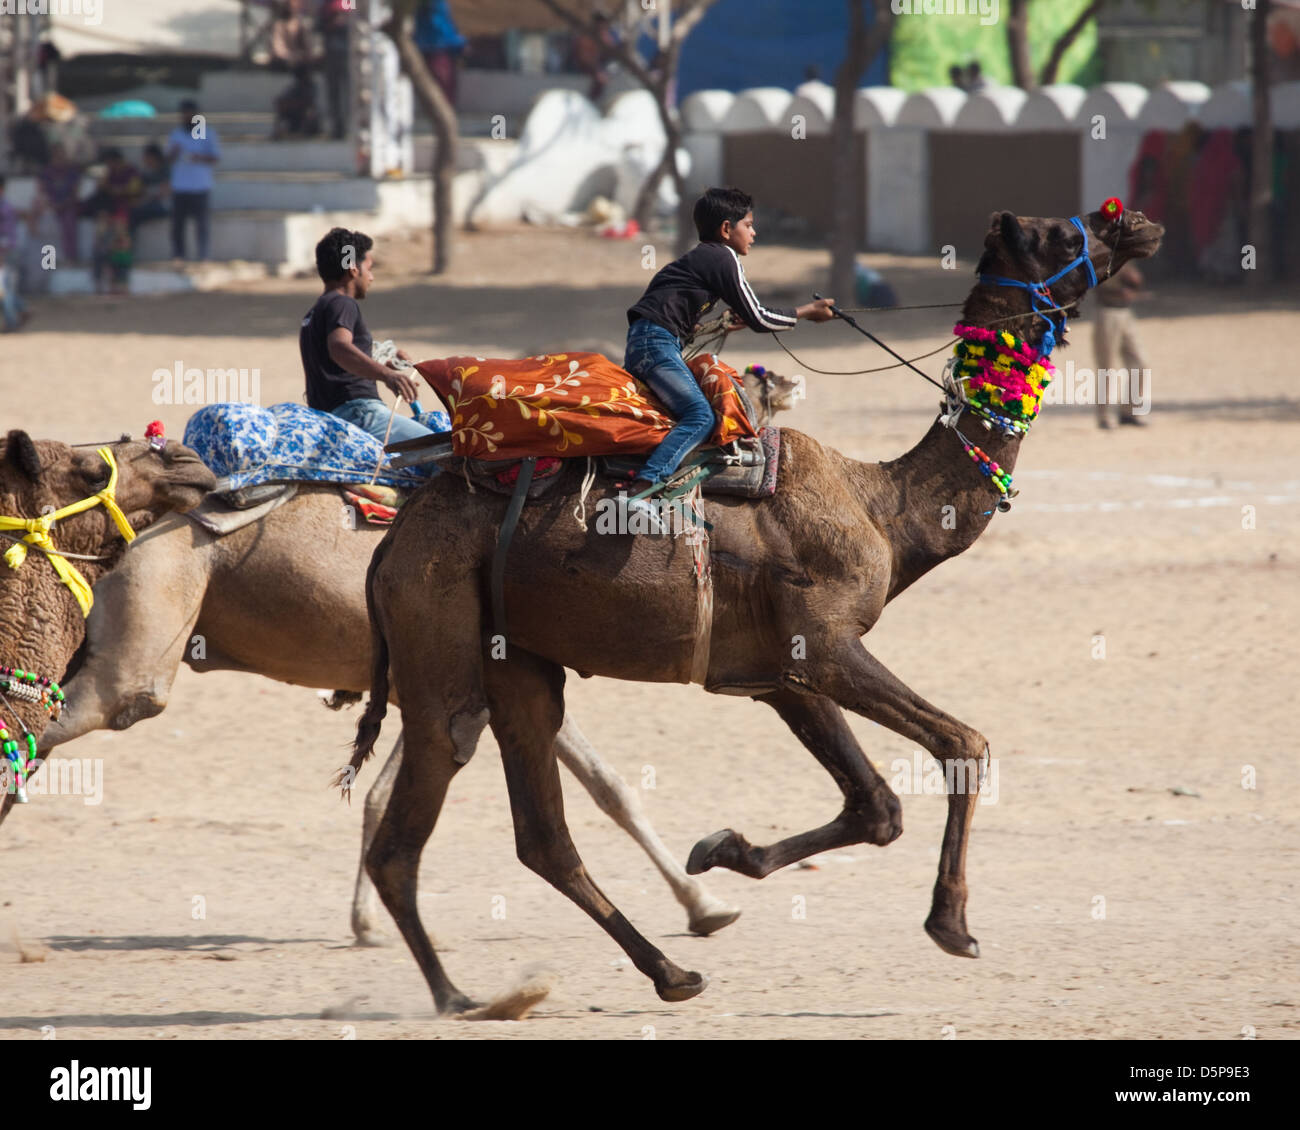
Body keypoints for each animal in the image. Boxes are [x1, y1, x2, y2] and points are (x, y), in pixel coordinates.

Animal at [33, 488, 741, 940]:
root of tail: (126, 535)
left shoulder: (429, 695)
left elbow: (378, 796)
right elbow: (608, 787)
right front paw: (708, 905)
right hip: (141, 648)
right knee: (62, 724)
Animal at [346, 206, 1164, 1012]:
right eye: (1056, 232)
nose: (1137, 222)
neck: (886, 509)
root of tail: (392, 542)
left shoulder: (780, 671)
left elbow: (876, 807)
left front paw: (721, 851)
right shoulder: (827, 643)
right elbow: (962, 742)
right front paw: (952, 927)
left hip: (518, 660)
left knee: (540, 833)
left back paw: (666, 973)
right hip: (438, 631)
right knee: (416, 812)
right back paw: (459, 995)